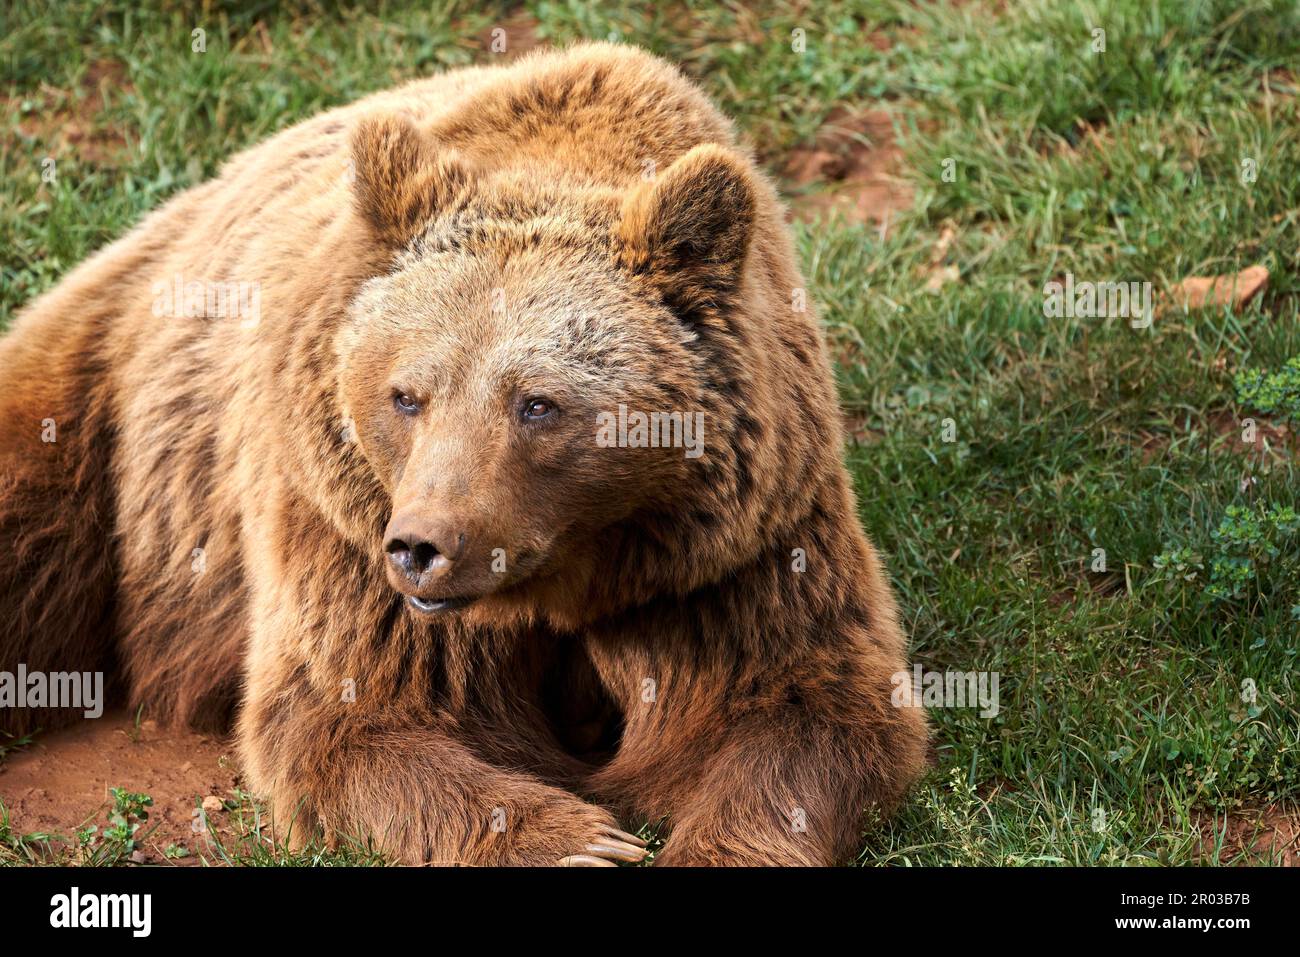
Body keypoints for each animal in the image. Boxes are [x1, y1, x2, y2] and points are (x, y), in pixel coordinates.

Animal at [0, 42, 928, 866]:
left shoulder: (731, 555)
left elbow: (806, 710)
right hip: (110, 405)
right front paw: (578, 840)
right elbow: (349, 717)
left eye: (537, 403)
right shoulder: (341, 526)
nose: (421, 546)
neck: (572, 573)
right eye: (406, 394)